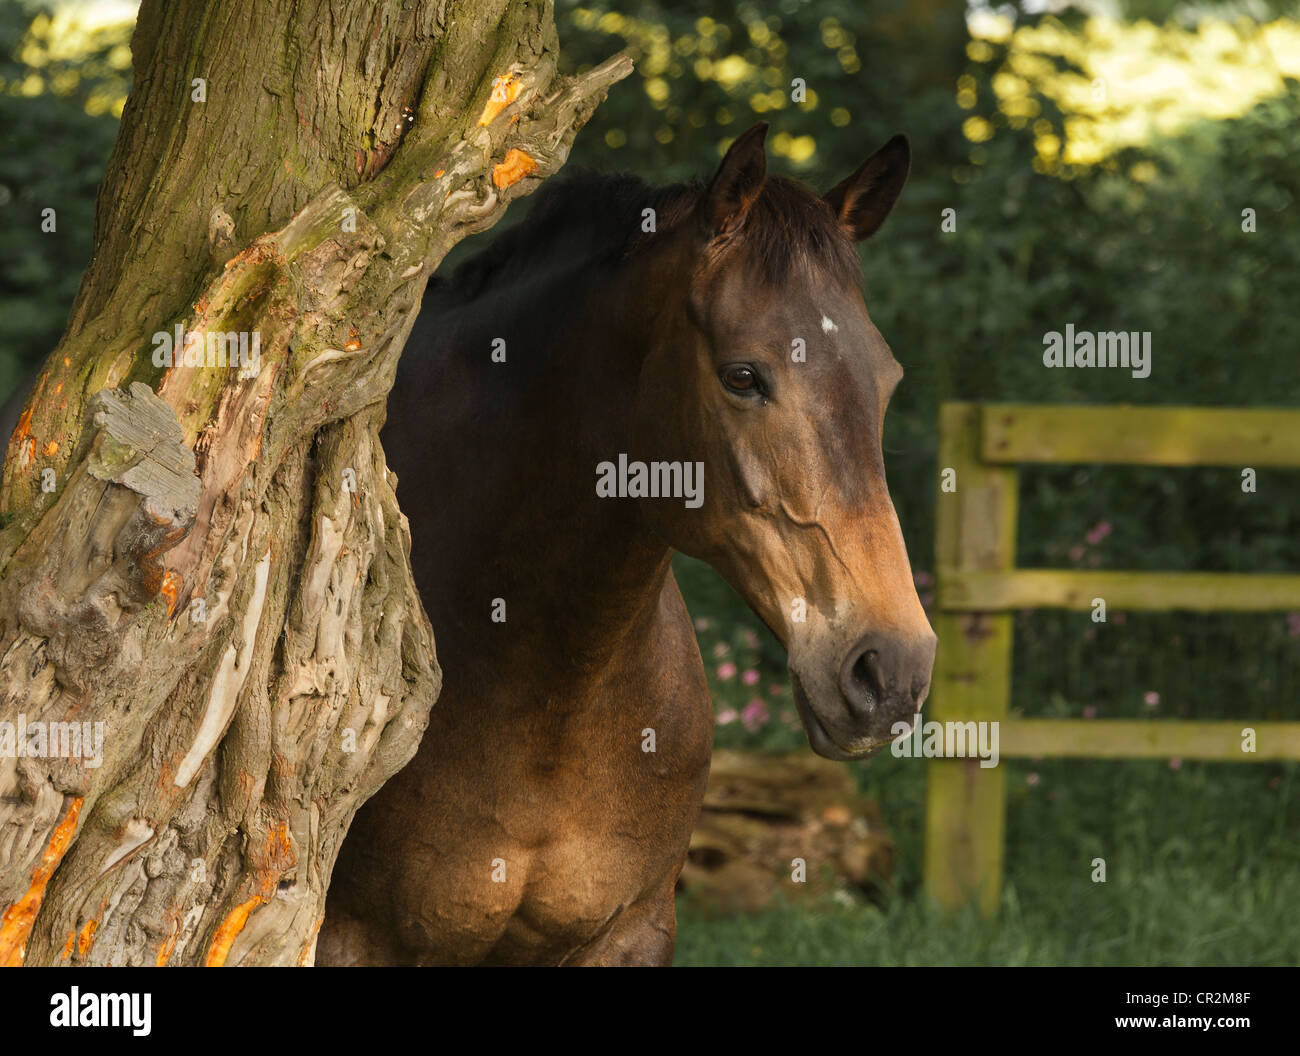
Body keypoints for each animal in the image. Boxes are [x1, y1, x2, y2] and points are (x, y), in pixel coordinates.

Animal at [317, 123, 937, 966]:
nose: (892, 670)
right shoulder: (343, 934)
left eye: (888, 378)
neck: (548, 697)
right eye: (743, 376)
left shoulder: (635, 929)